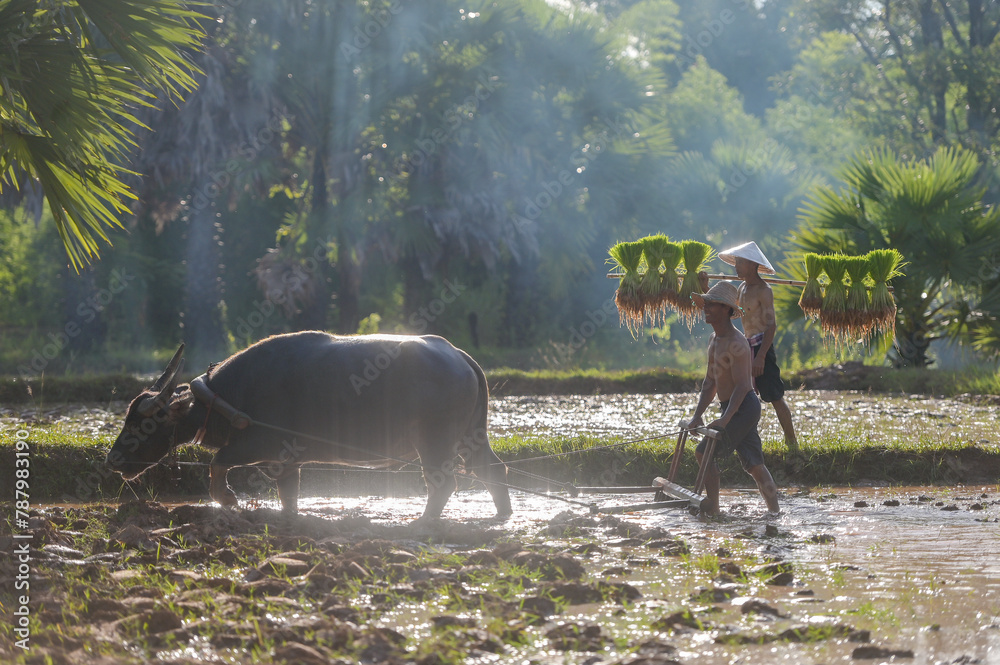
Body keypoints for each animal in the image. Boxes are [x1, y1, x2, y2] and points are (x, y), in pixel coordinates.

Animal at [106, 332, 512, 521]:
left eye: (147, 422)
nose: (112, 460)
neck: (225, 397)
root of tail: (459, 356)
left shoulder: (260, 444)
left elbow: (217, 462)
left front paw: (228, 499)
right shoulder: (288, 461)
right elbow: (288, 493)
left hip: (434, 442)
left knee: (443, 482)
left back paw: (422, 521)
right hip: (472, 437)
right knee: (492, 468)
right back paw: (503, 513)